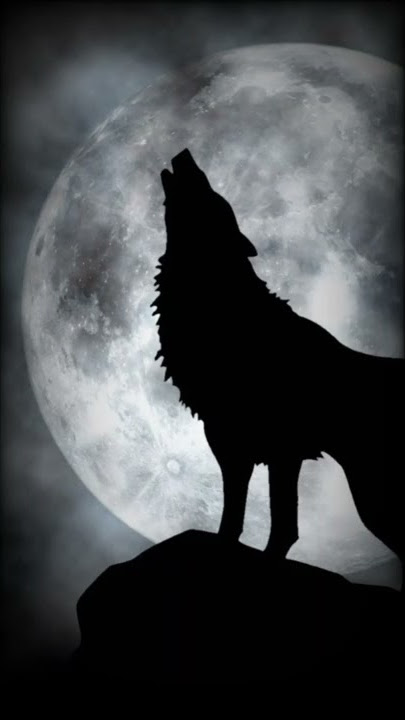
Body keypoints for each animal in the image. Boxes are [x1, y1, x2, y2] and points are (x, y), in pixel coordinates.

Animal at [152, 148, 403, 568]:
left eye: (215, 198)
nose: (185, 153)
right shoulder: (242, 445)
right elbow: (249, 519)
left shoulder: (272, 448)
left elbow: (272, 525)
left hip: (371, 497)